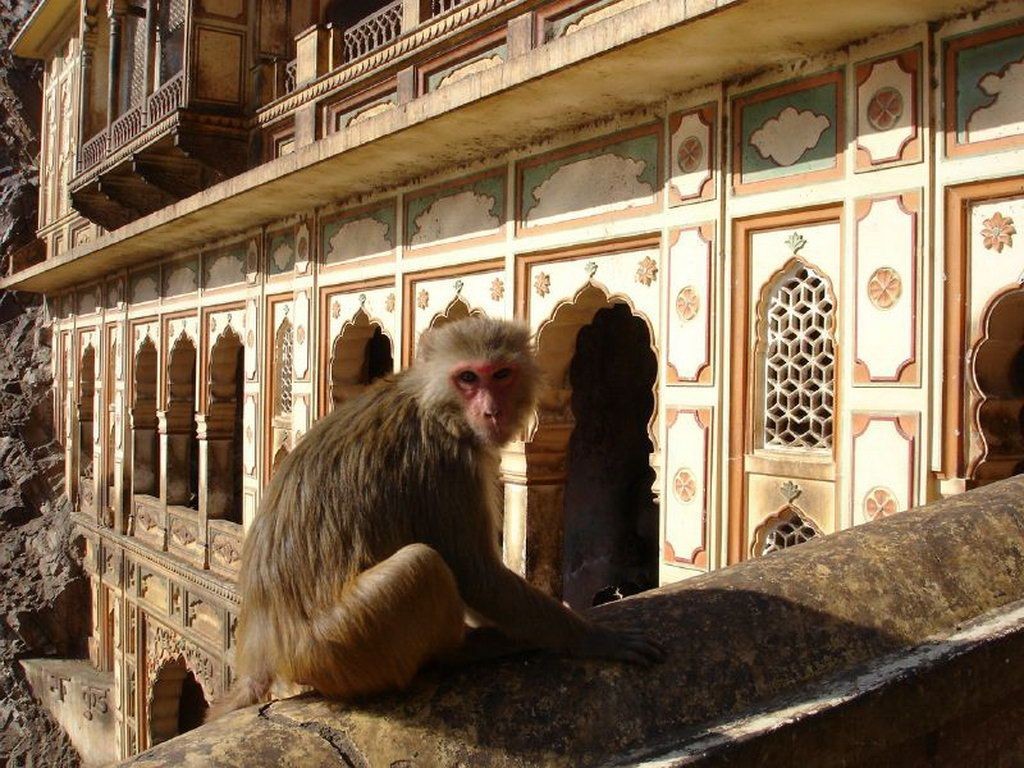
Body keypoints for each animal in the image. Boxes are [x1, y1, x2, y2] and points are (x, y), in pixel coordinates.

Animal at [210, 316, 663, 719]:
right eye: (468, 378)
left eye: (501, 374)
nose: (492, 411)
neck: (437, 406)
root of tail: (267, 651)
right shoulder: (446, 463)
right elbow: (475, 573)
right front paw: (592, 637)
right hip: (339, 645)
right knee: (421, 564)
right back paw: (458, 651)